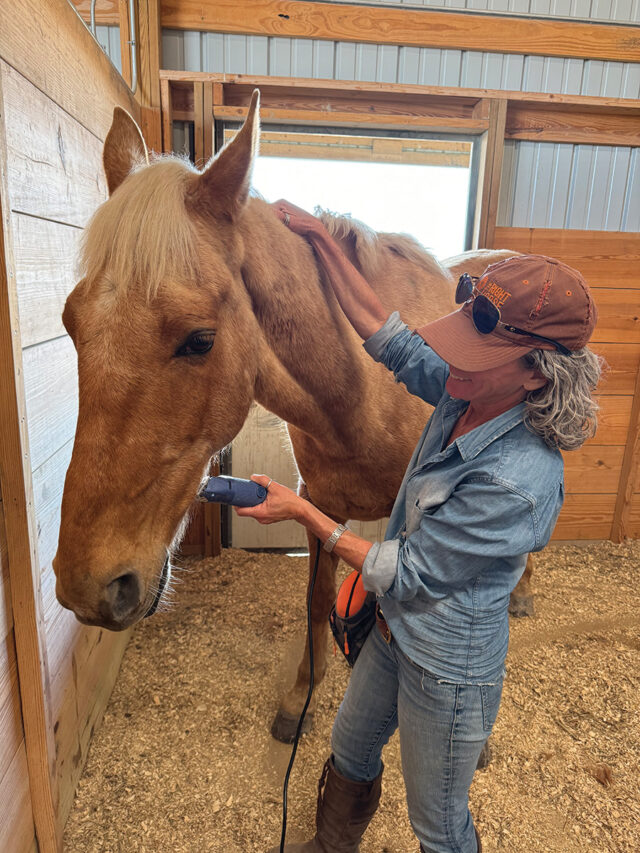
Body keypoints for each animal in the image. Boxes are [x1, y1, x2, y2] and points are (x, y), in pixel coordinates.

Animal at [53, 90, 533, 742]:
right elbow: (317, 600)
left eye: (199, 340)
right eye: (70, 324)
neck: (360, 393)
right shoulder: (320, 507)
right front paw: (303, 694)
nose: (88, 586)